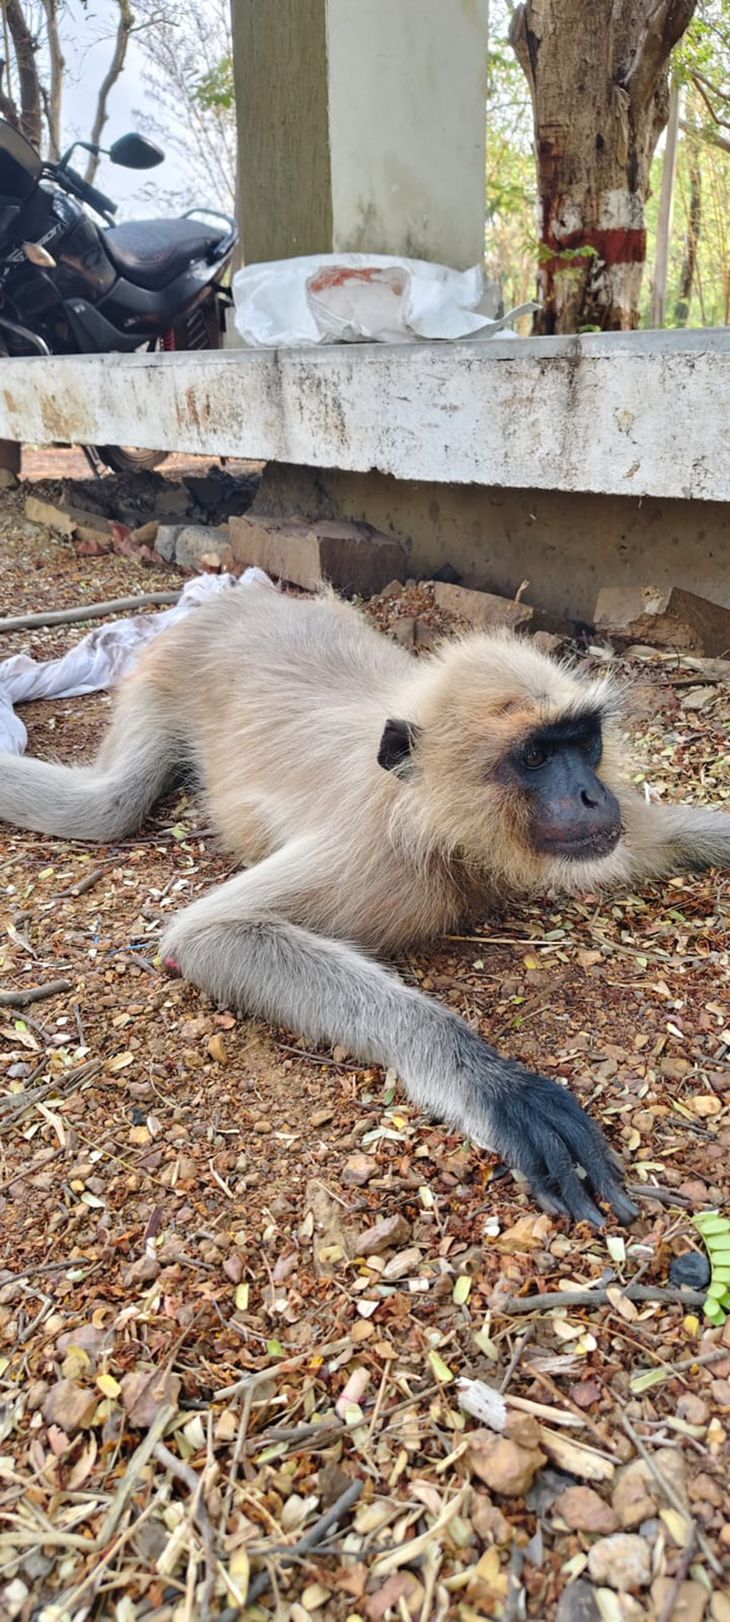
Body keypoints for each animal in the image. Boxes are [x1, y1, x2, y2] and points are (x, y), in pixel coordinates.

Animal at [1, 582, 728, 1226]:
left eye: (583, 744)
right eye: (535, 757)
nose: (589, 795)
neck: (435, 820)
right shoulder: (382, 858)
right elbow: (208, 934)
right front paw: (496, 1086)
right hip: (164, 676)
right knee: (107, 807)